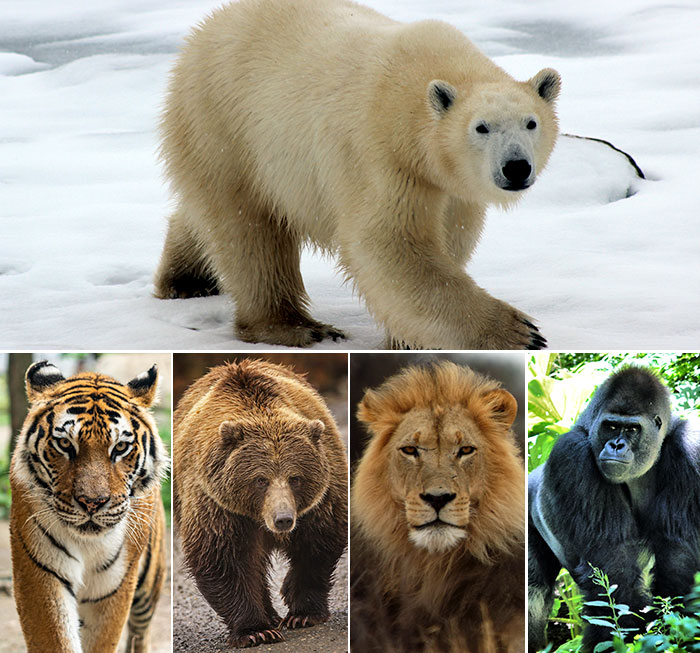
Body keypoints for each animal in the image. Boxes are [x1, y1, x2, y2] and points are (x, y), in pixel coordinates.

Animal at [9, 360, 169, 653]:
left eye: (120, 447)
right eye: (64, 443)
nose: (91, 503)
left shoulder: (114, 584)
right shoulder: (41, 572)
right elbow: (55, 638)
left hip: (149, 584)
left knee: (141, 632)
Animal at [154, 0, 561, 349]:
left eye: (531, 123)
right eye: (481, 128)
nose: (516, 167)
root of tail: (204, 30)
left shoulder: (449, 186)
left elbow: (450, 236)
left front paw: (408, 339)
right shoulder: (382, 155)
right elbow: (388, 243)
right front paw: (520, 333)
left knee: (206, 216)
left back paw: (186, 280)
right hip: (224, 124)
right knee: (248, 230)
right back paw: (296, 326)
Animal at [173, 359, 348, 648]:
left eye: (295, 478)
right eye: (260, 480)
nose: (283, 519)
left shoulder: (320, 500)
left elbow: (318, 545)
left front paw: (303, 613)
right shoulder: (218, 504)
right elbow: (222, 559)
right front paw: (256, 630)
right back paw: (270, 616)